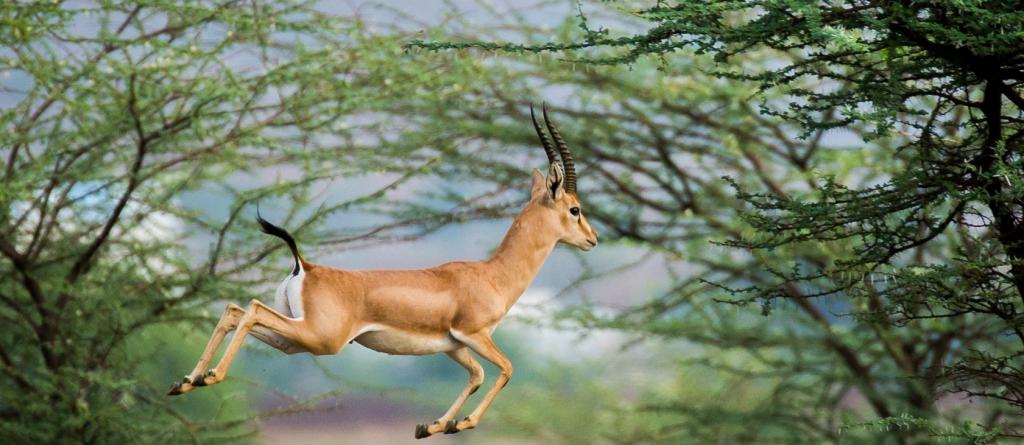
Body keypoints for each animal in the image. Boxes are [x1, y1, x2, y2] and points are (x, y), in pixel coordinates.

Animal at [167, 104, 598, 438]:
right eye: (574, 208)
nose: (593, 239)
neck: (493, 274)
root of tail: (305, 266)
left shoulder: (454, 346)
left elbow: (475, 376)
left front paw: (433, 426)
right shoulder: (474, 334)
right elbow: (506, 368)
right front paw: (461, 423)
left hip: (295, 338)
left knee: (236, 310)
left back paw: (186, 381)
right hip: (321, 338)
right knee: (252, 309)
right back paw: (208, 377)